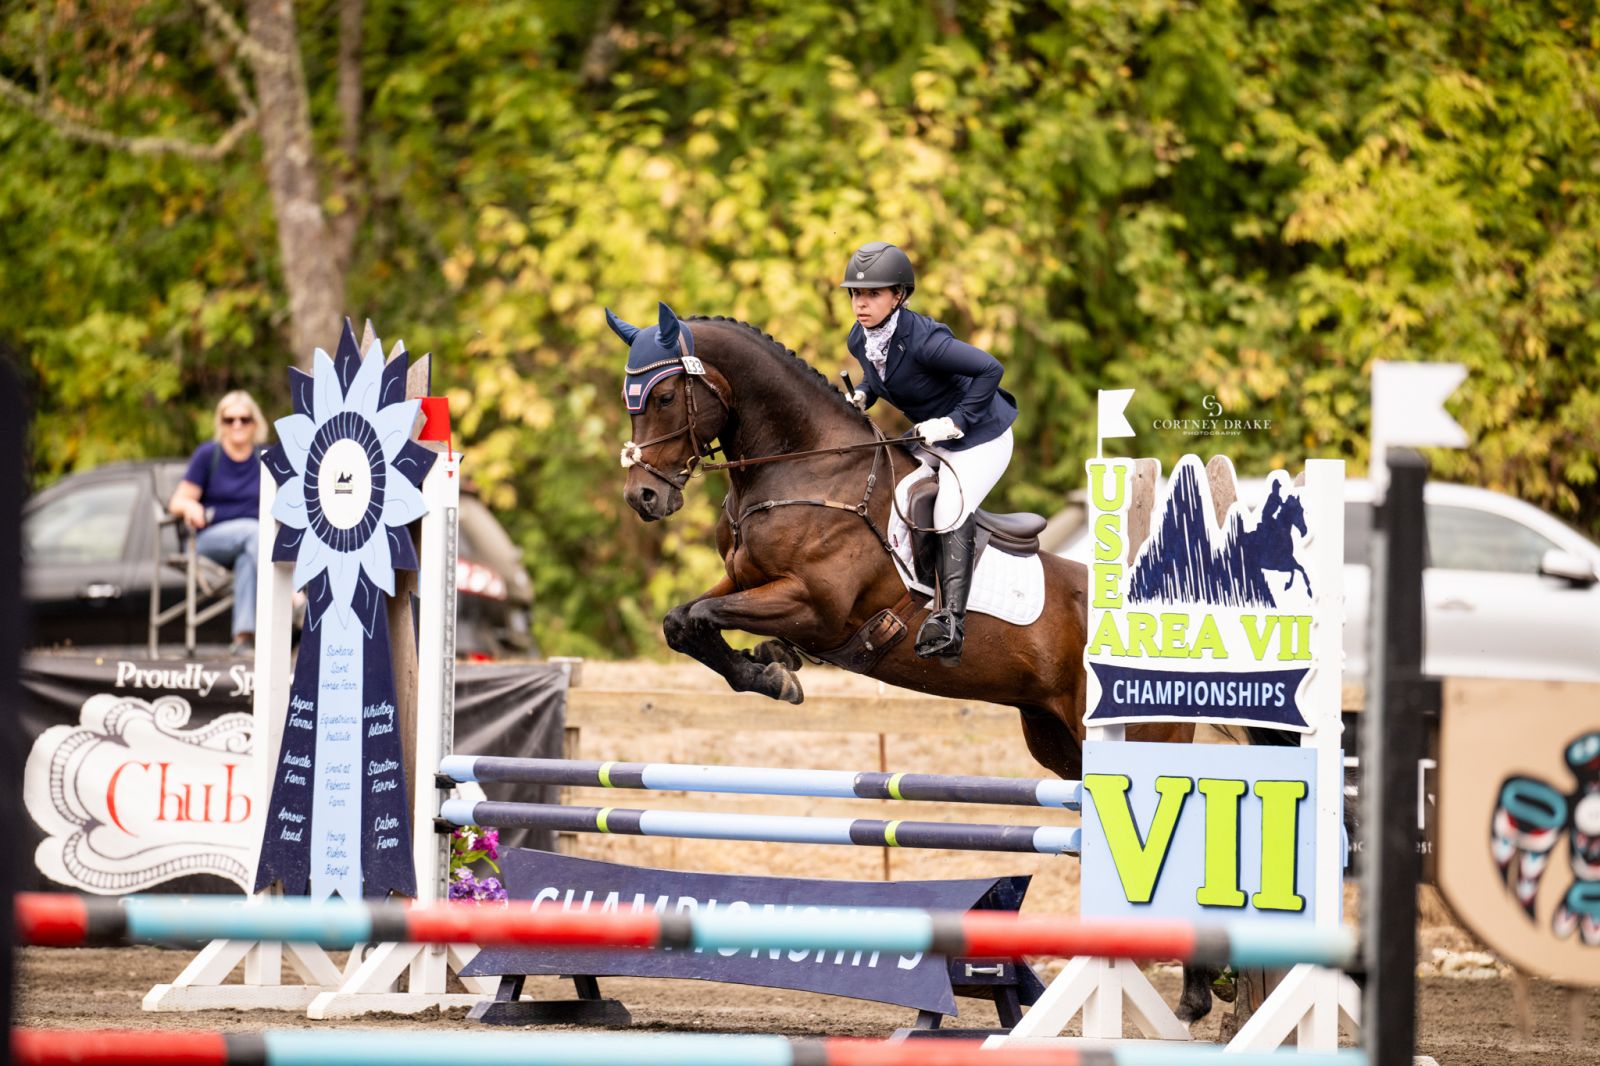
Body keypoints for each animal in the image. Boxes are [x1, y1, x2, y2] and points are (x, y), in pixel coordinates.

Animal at [609, 302, 1223, 1026]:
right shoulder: (748, 583)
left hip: (1129, 742)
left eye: (664, 397)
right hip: (1057, 744)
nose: (643, 499)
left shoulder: (815, 606)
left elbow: (701, 617)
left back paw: (1198, 989)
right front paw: (770, 668)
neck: (802, 470)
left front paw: (773, 672)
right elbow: (684, 620)